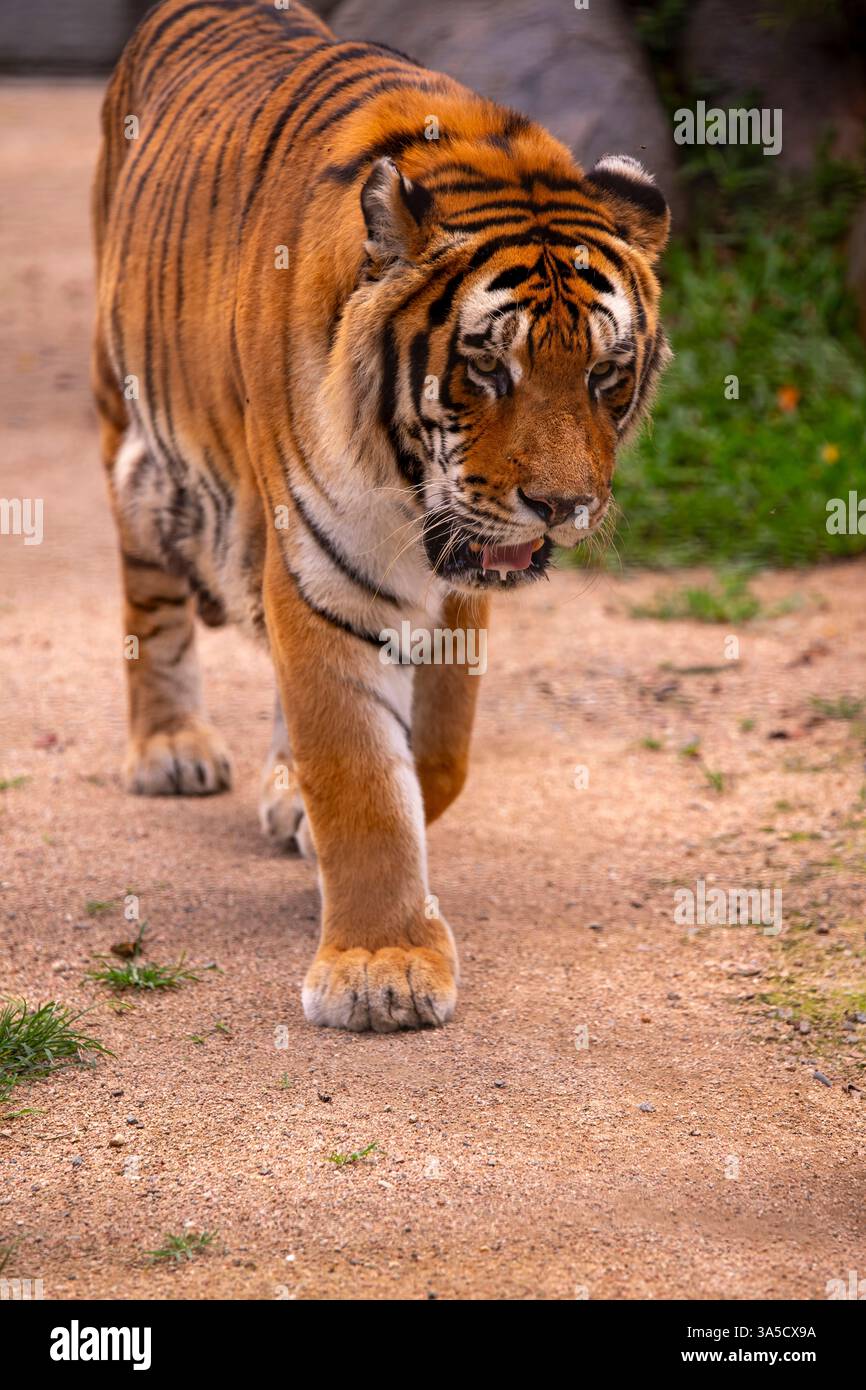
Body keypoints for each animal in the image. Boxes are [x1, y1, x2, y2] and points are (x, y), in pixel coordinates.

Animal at [92, 0, 670, 1032]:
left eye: (606, 374)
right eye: (487, 367)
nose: (563, 507)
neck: (408, 492)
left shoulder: (464, 574)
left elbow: (436, 754)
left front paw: (322, 826)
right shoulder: (322, 567)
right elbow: (360, 771)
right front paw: (380, 970)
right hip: (132, 432)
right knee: (149, 593)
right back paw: (171, 748)